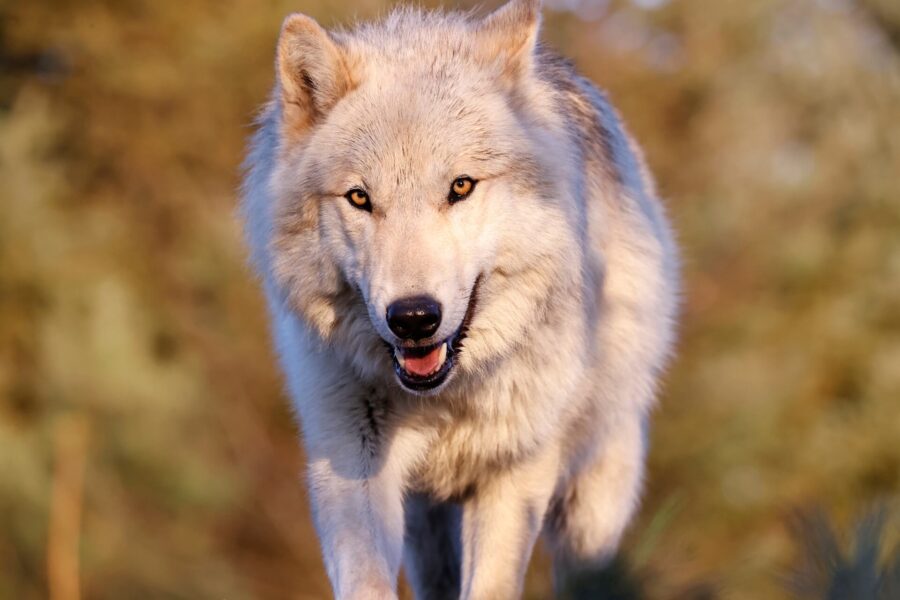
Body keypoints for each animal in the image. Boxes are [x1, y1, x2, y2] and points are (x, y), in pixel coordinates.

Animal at [241, 0, 679, 597]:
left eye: (461, 186)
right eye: (360, 198)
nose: (412, 318)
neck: (446, 397)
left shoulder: (514, 474)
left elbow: (493, 584)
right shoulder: (350, 457)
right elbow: (367, 582)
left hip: (594, 499)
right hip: (428, 523)